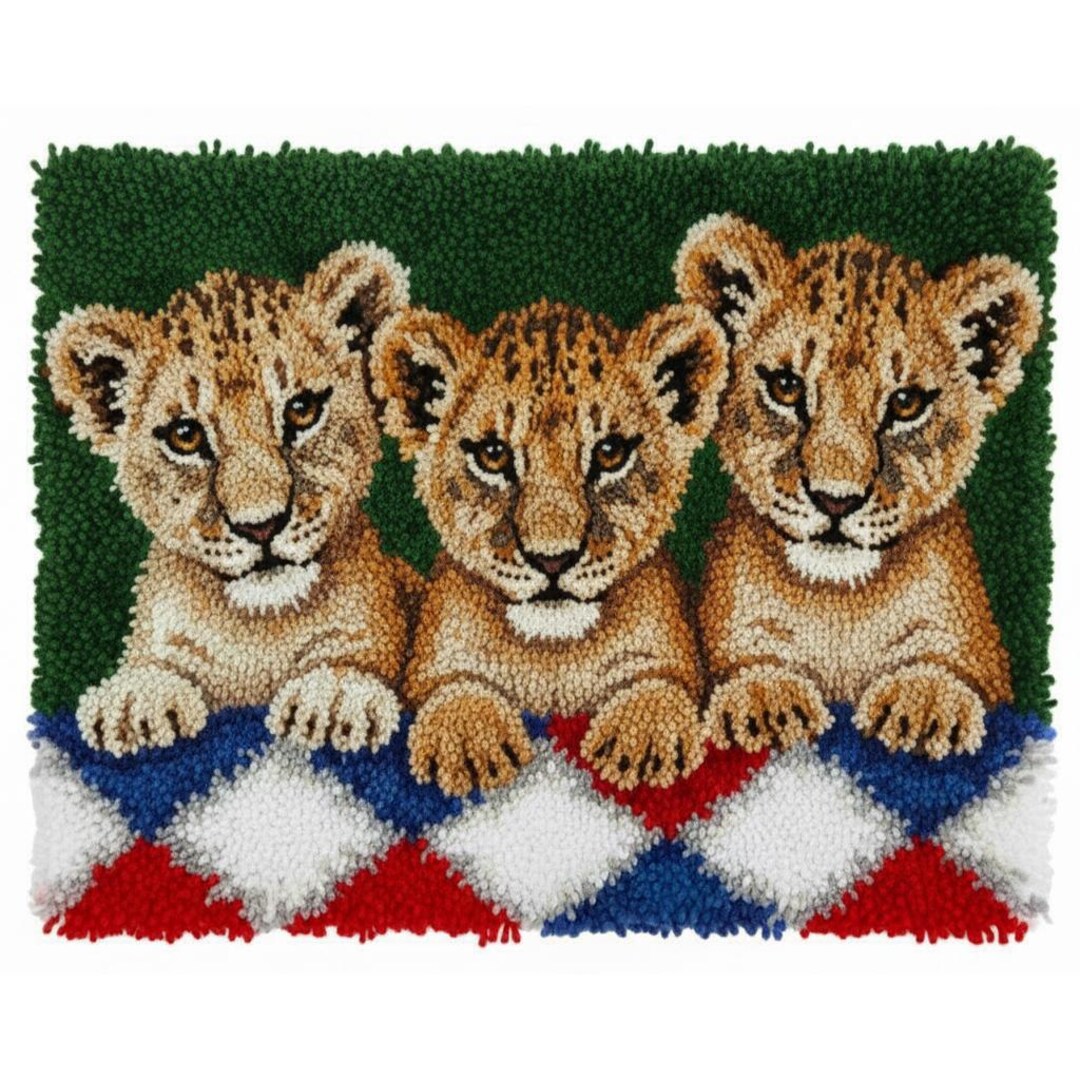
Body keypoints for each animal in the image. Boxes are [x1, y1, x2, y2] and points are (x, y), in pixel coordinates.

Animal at [46, 243, 422, 756]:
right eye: (185, 435)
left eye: (302, 410)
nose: (260, 525)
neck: (256, 630)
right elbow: (157, 662)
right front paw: (137, 700)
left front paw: (336, 696)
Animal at [368, 298, 729, 795]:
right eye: (493, 455)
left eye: (611, 453)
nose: (552, 559)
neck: (551, 658)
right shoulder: (433, 659)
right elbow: (452, 685)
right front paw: (468, 741)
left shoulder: (673, 653)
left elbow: (662, 680)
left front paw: (641, 737)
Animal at [674, 213, 1042, 759]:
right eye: (786, 387)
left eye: (906, 403)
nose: (835, 499)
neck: (840, 608)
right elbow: (745, 660)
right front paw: (764, 700)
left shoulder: (979, 648)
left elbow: (953, 665)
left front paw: (924, 702)